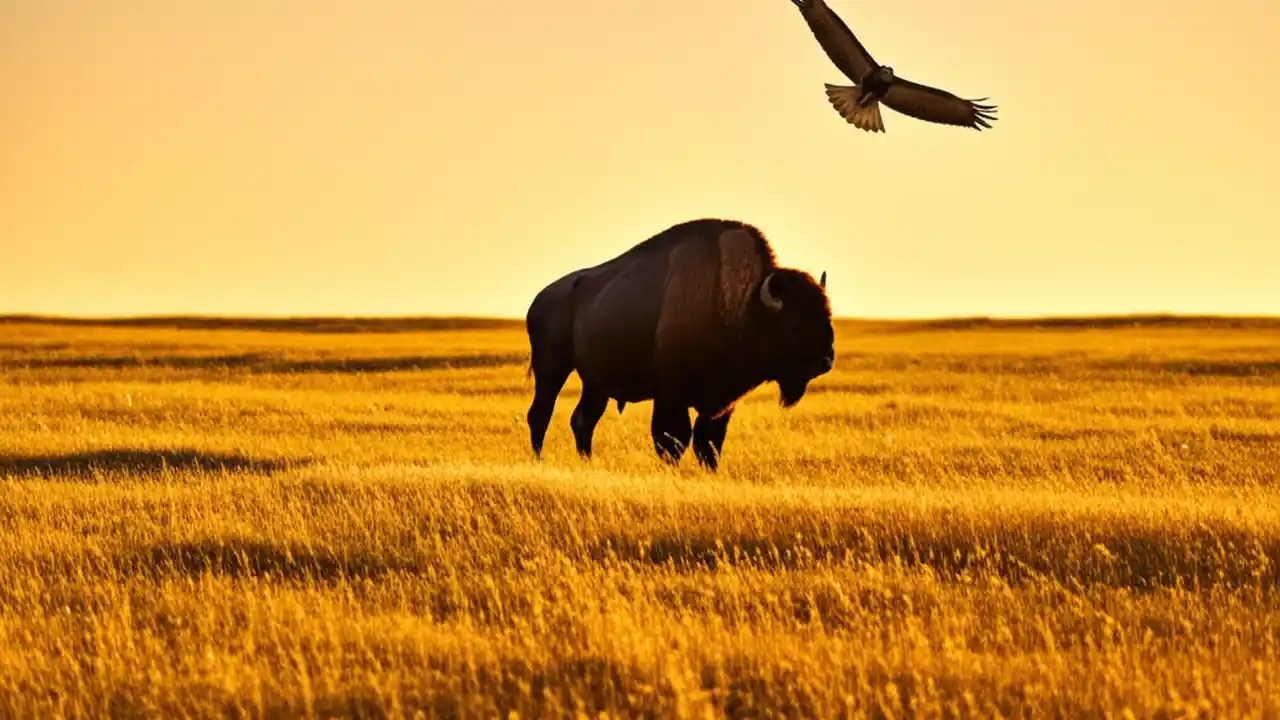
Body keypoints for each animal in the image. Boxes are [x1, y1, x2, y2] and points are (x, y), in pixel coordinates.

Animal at [524, 218, 835, 470]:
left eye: (827, 315)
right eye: (795, 324)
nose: (825, 361)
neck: (740, 302)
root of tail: (541, 298)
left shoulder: (721, 403)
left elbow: (708, 443)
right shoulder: (671, 394)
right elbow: (673, 439)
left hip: (595, 384)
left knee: (582, 420)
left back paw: (586, 461)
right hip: (551, 369)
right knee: (541, 414)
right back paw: (540, 460)